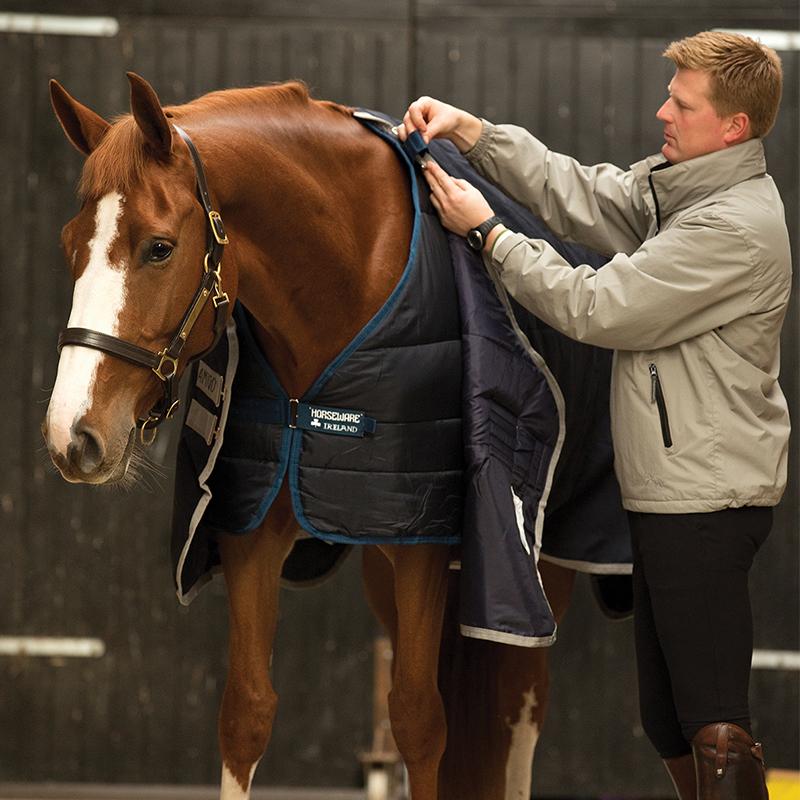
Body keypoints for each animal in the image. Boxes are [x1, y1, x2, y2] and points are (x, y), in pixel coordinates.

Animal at [42, 73, 576, 800]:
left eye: (159, 247)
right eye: (72, 246)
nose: (72, 435)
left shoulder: (423, 545)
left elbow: (418, 722)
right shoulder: (252, 531)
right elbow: (246, 713)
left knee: (520, 709)